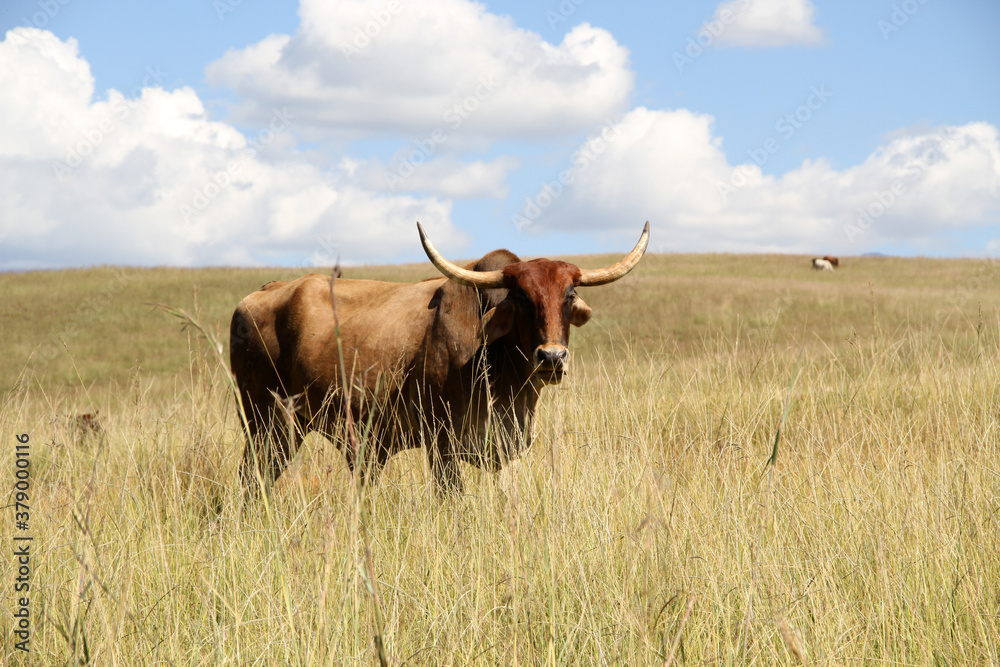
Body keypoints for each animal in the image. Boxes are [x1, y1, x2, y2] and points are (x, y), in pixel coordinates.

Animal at [231, 222, 650, 495]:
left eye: (569, 294)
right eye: (521, 298)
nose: (551, 356)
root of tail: (259, 294)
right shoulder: (441, 443)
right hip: (267, 424)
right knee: (253, 479)